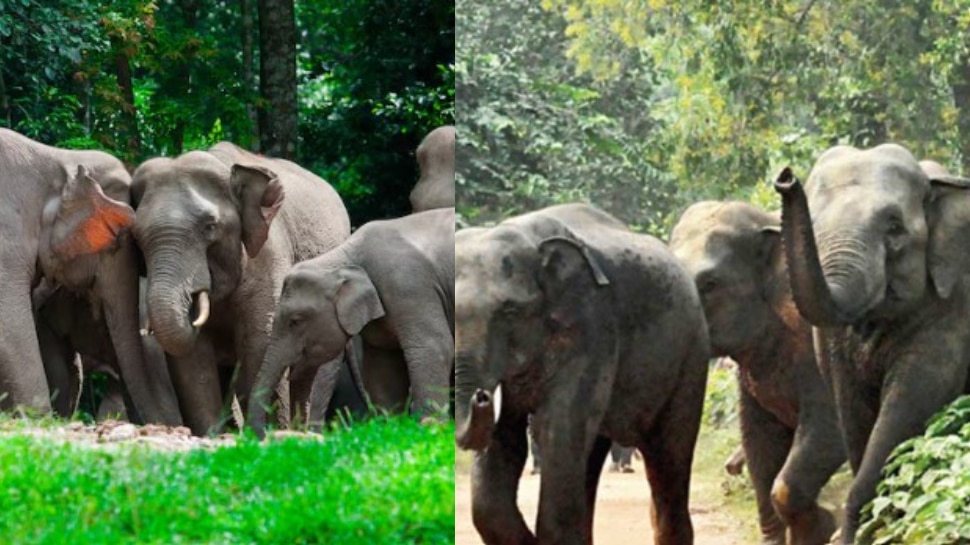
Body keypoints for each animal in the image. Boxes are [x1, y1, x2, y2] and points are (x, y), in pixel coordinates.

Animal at [131, 142, 351, 436]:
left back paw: (301, 430)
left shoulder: (267, 257)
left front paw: (267, 432)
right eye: (135, 235)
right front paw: (212, 435)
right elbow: (192, 361)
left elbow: (261, 342)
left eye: (210, 227)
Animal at [247, 207, 455, 437]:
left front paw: (431, 429)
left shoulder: (410, 288)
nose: (265, 435)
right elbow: (383, 367)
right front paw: (392, 428)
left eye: (296, 321)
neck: (343, 255)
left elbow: (434, 347)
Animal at [455, 203, 710, 545]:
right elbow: (507, 439)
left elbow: (556, 430)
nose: (481, 396)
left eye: (509, 311)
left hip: (691, 357)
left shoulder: (591, 326)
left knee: (667, 456)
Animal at [773, 144, 970, 544]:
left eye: (894, 228)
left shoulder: (951, 309)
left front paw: (864, 530)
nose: (785, 177)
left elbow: (911, 403)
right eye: (816, 226)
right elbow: (851, 406)